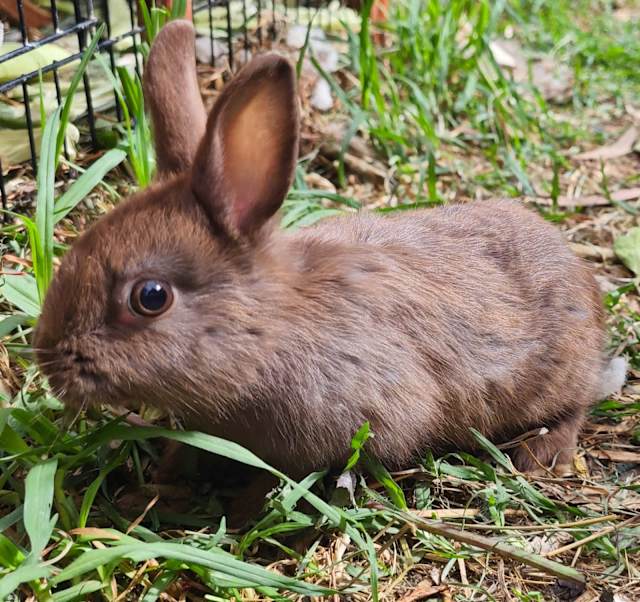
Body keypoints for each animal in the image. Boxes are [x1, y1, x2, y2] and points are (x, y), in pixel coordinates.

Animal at [35, 20, 623, 480]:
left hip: (553, 375)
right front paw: (167, 480)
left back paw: (544, 455)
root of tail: (582, 280)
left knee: (578, 401)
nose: (48, 362)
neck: (271, 327)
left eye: (151, 297)